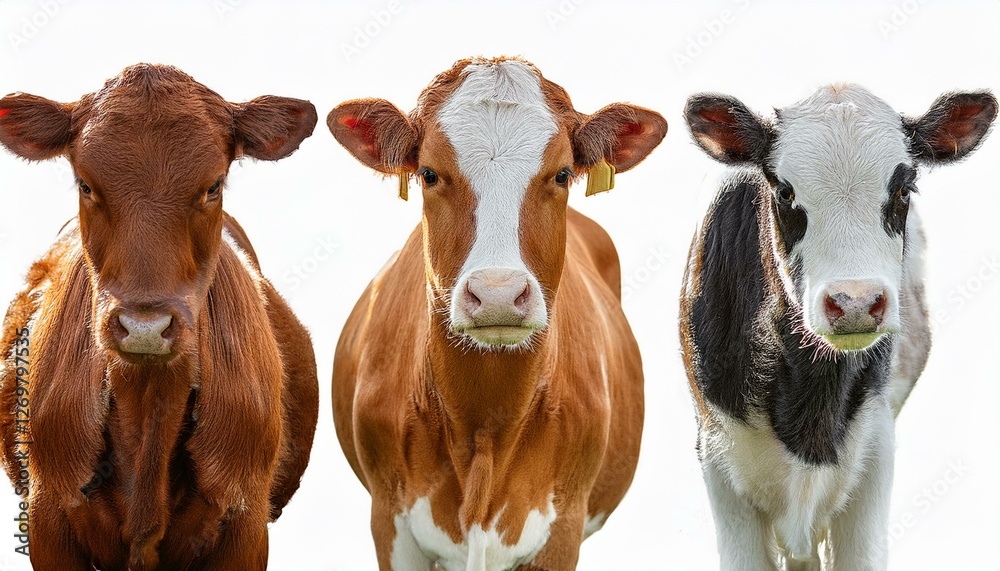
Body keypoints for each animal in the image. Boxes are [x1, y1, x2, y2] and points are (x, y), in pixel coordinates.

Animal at [327, 56, 667, 570]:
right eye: (429, 173)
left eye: (562, 174)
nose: (498, 294)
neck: (484, 427)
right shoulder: (389, 521)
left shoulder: (563, 527)